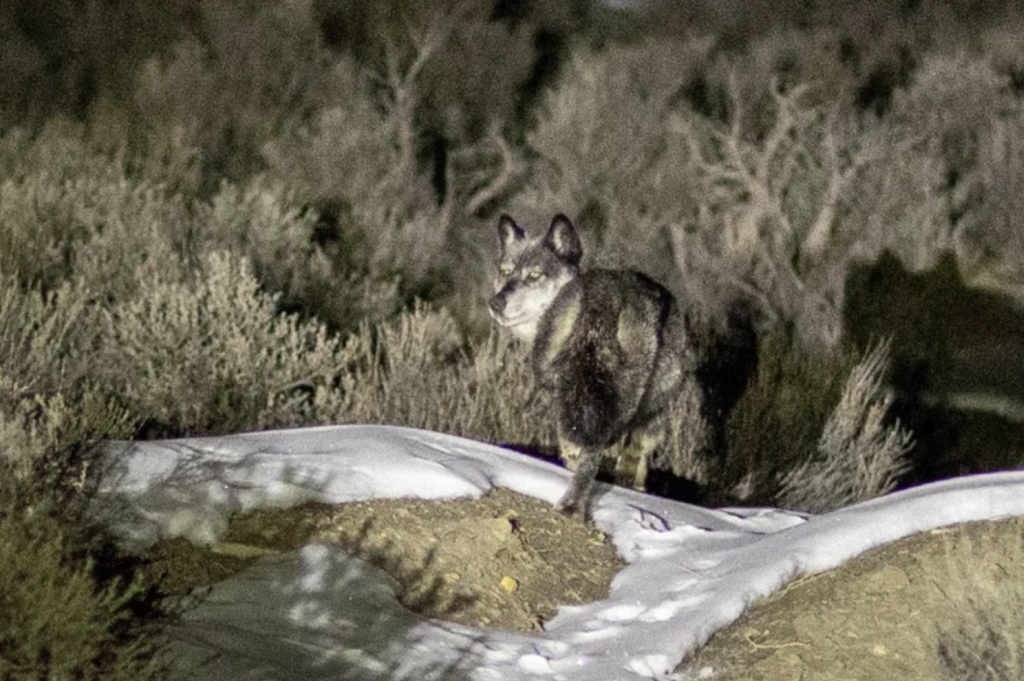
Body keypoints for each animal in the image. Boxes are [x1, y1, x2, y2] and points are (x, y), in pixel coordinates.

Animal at [488, 213, 755, 517]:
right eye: (506, 271)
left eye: (534, 275)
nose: (496, 302)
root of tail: (601, 291)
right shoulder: (653, 407)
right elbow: (639, 453)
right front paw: (635, 485)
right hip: (630, 398)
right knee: (600, 448)